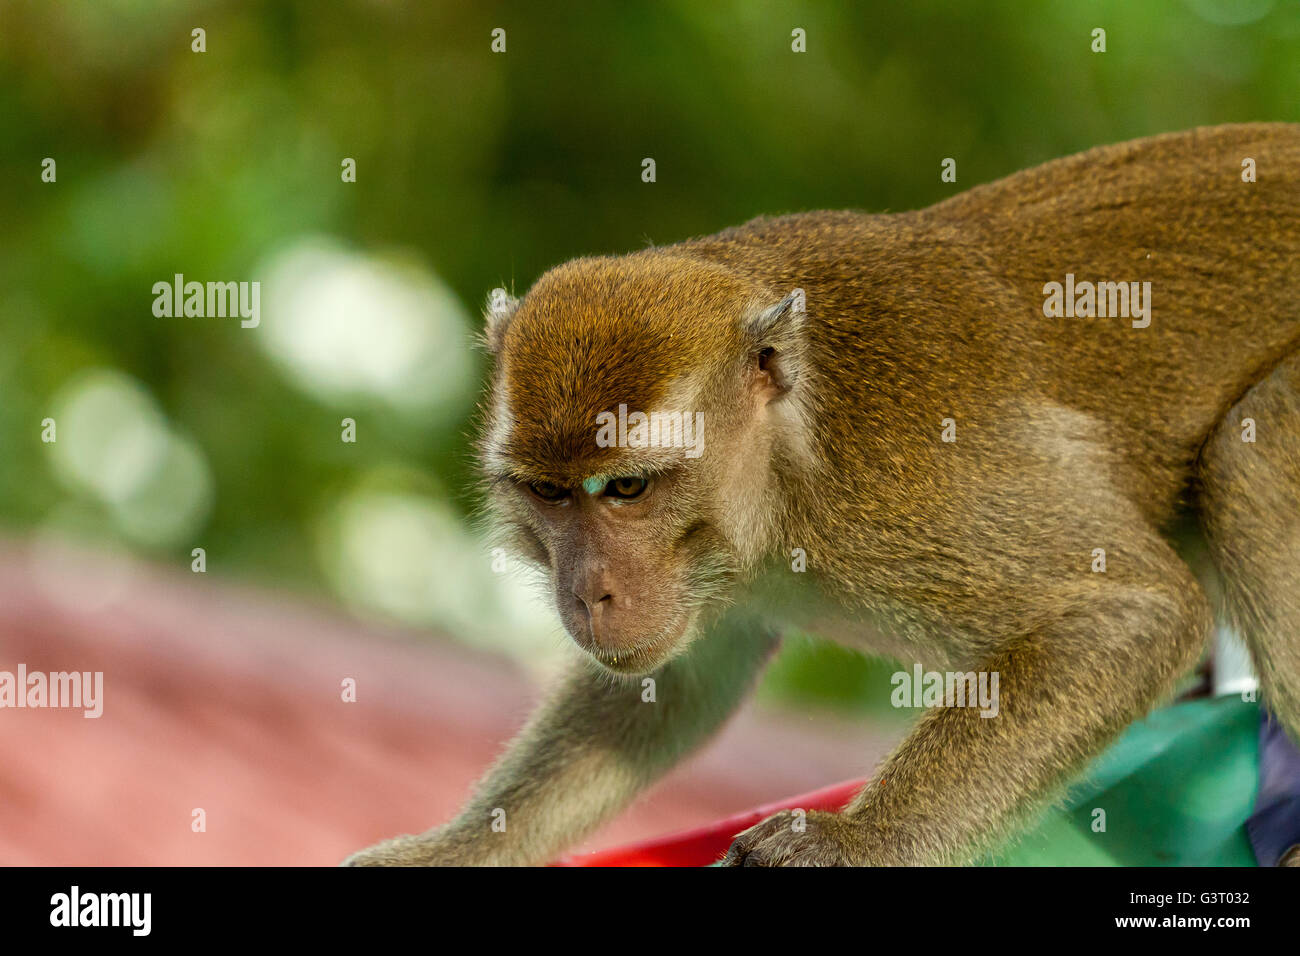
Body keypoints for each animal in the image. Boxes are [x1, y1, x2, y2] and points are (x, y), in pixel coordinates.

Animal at [344, 123, 1300, 867]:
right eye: (548, 494)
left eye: (626, 488)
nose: (589, 592)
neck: (790, 463)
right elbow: (671, 690)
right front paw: (461, 848)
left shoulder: (905, 491)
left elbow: (1128, 610)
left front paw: (862, 841)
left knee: (1247, 455)